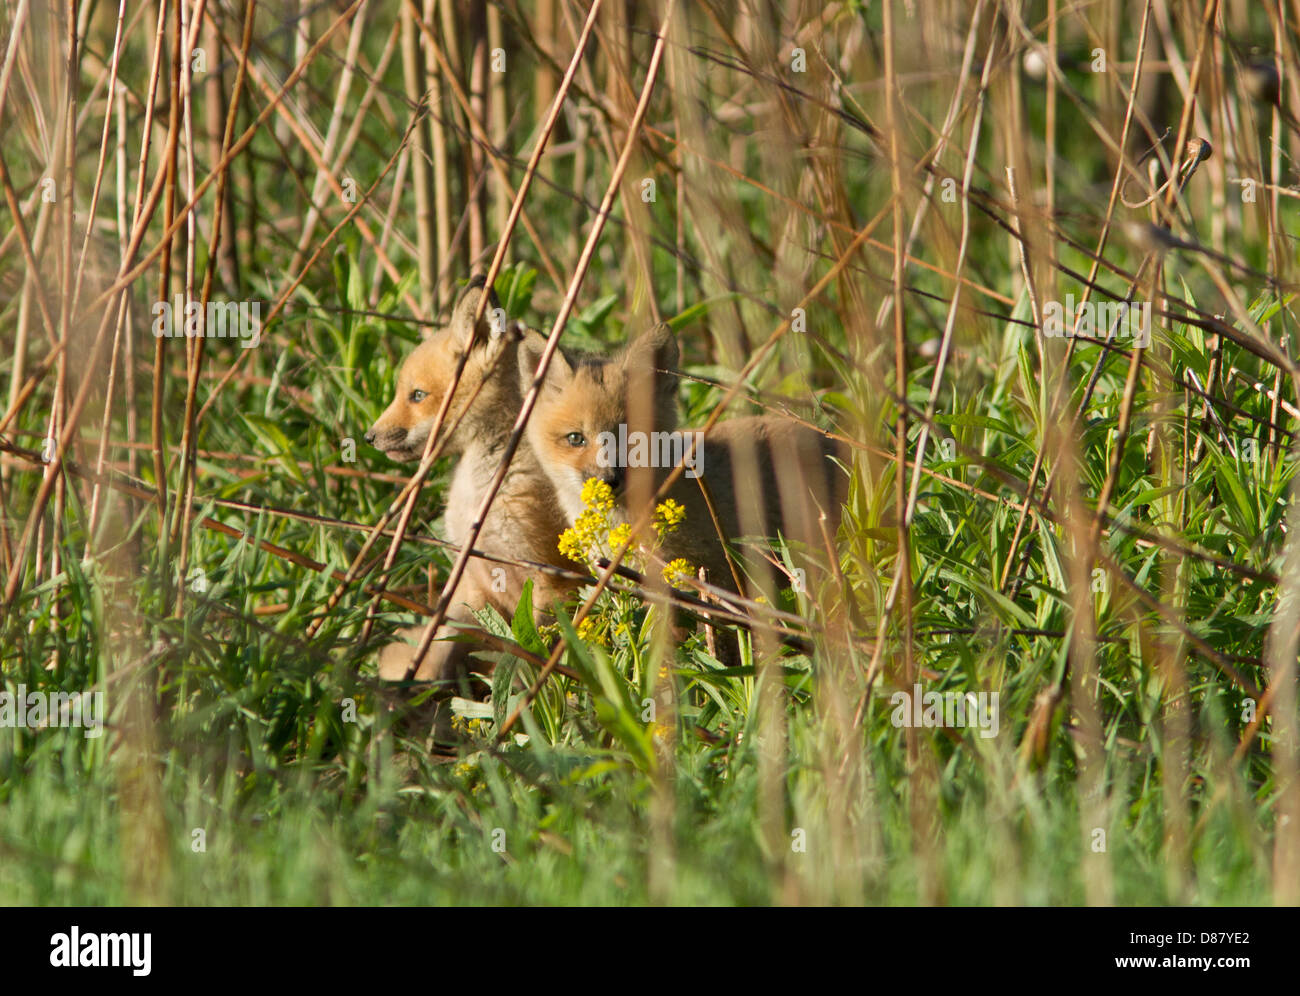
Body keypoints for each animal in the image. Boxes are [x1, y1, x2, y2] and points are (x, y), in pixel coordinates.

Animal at [365, 277, 582, 686]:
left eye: (417, 395)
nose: (368, 437)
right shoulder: (473, 580)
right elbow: (445, 641)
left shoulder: (551, 579)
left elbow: (531, 654)